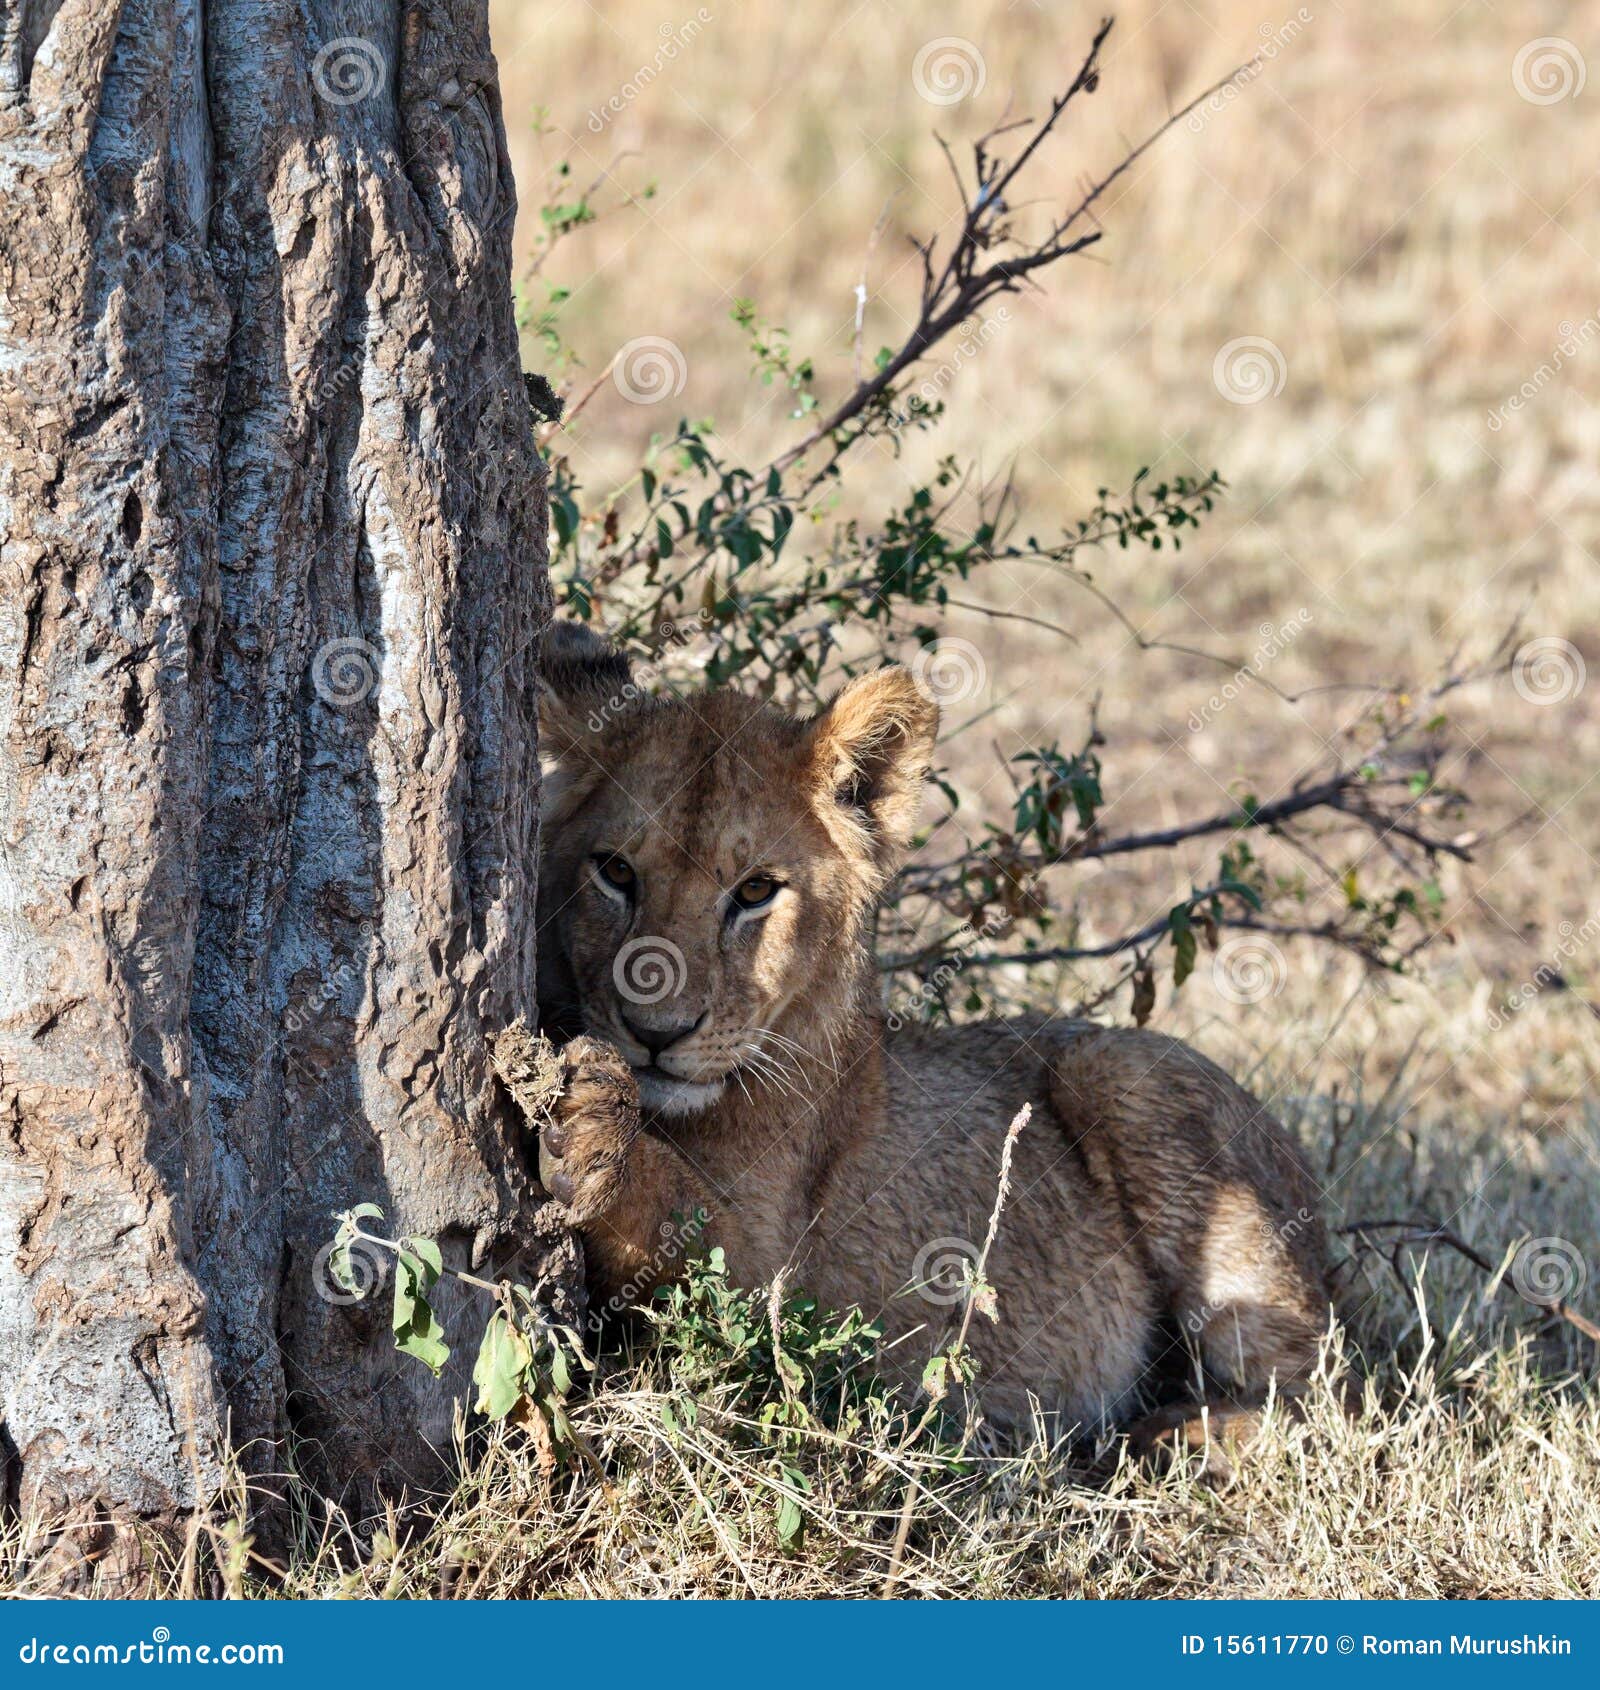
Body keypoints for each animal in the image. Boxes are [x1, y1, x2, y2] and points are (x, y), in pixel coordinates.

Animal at [533, 622, 1338, 1458]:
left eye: (755, 890)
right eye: (616, 871)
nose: (654, 1034)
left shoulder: (773, 1285)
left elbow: (682, 1219)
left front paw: (593, 1128)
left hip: (1126, 1069)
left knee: (1322, 1393)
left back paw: (1176, 1435)